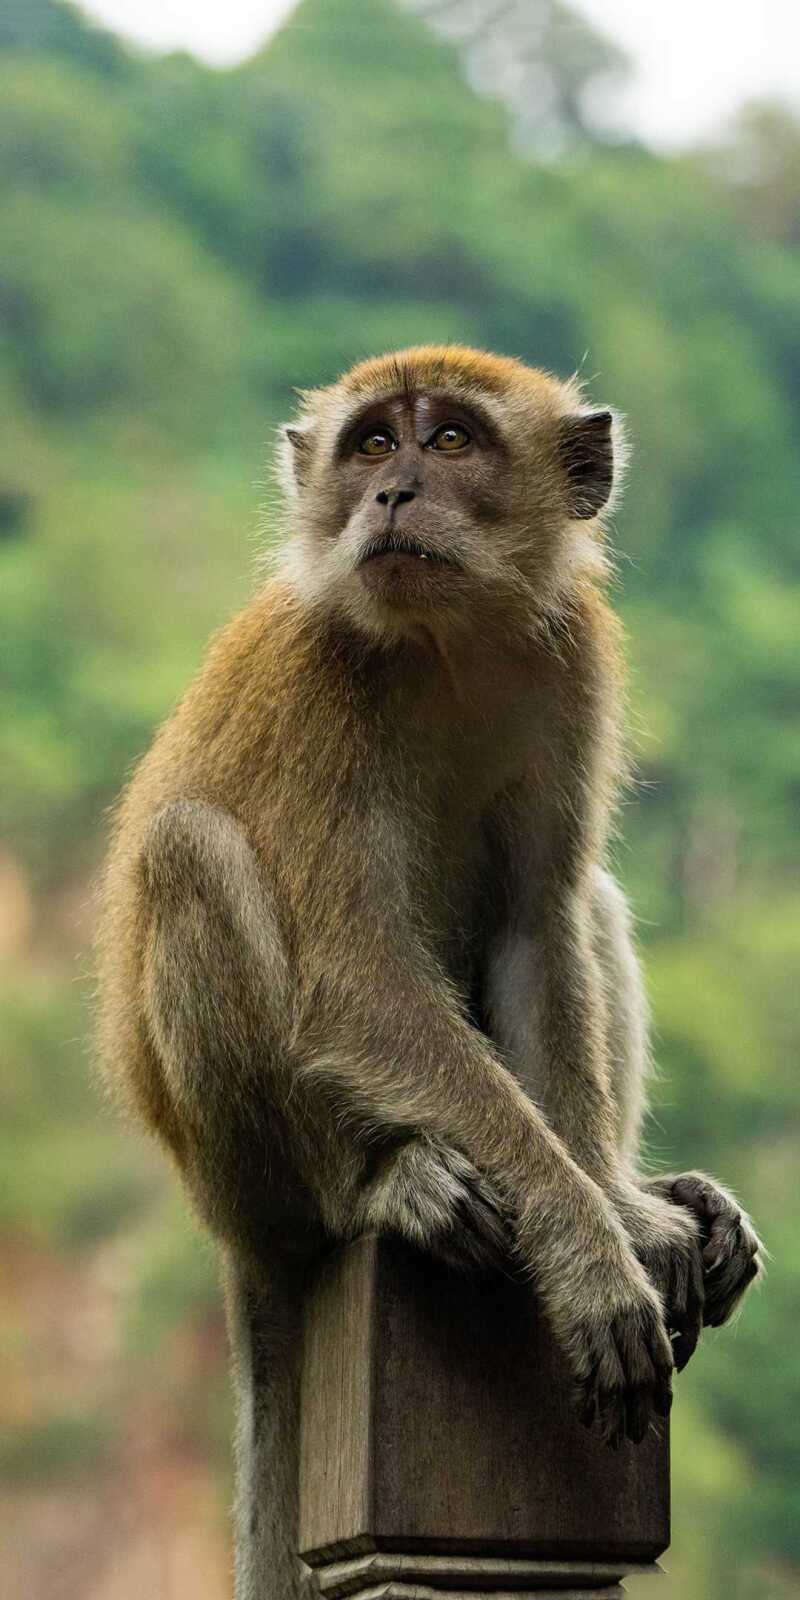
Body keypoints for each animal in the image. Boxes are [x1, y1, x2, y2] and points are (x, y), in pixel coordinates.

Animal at [95, 345, 762, 1599]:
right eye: (369, 443)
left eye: (448, 440)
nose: (390, 492)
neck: (445, 639)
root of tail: (229, 1224)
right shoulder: (318, 683)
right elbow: (350, 975)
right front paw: (584, 1244)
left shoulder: (570, 657)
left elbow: (540, 921)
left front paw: (610, 1205)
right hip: (245, 1176)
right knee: (190, 855)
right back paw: (380, 1184)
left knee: (588, 896)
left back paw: (653, 1191)